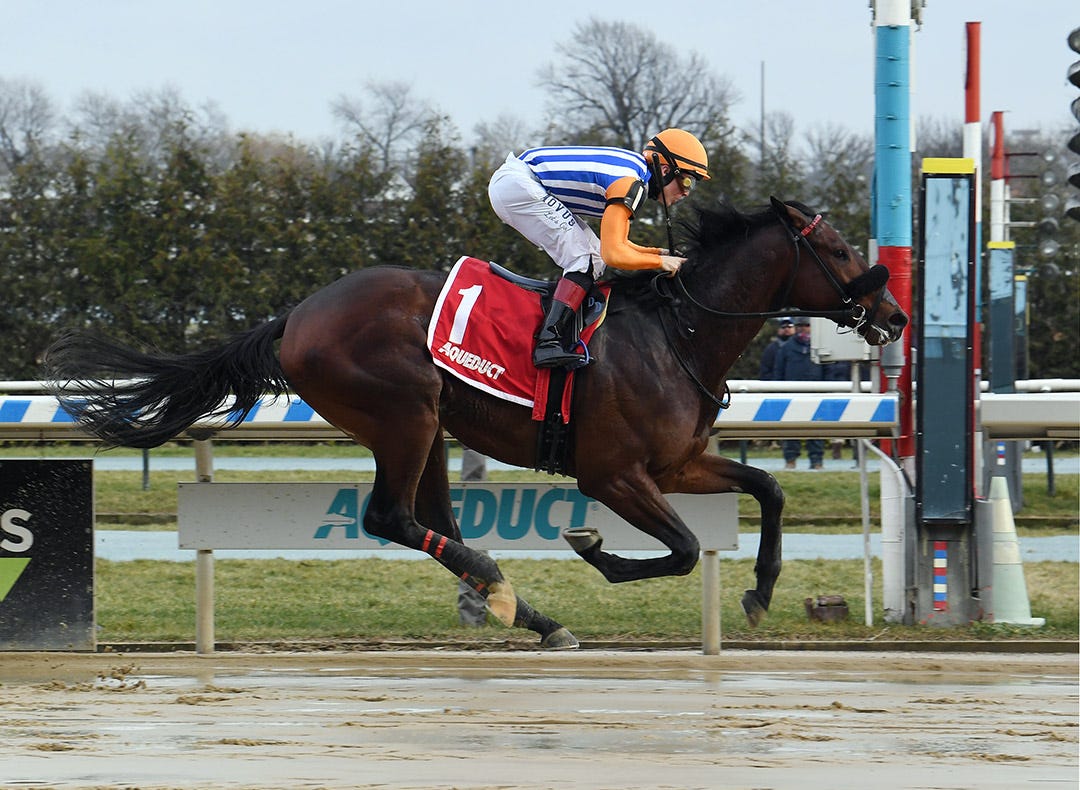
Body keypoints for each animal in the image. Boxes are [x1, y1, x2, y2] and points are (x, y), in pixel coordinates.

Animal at [44, 197, 908, 649]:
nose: (895, 315)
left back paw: (525, 609)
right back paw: (505, 590)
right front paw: (594, 550)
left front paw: (760, 591)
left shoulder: (675, 464)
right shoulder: (614, 474)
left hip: (427, 425)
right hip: (404, 412)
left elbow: (767, 489)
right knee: (392, 517)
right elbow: (686, 549)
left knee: (430, 518)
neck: (677, 334)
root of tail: (298, 314)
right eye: (835, 247)